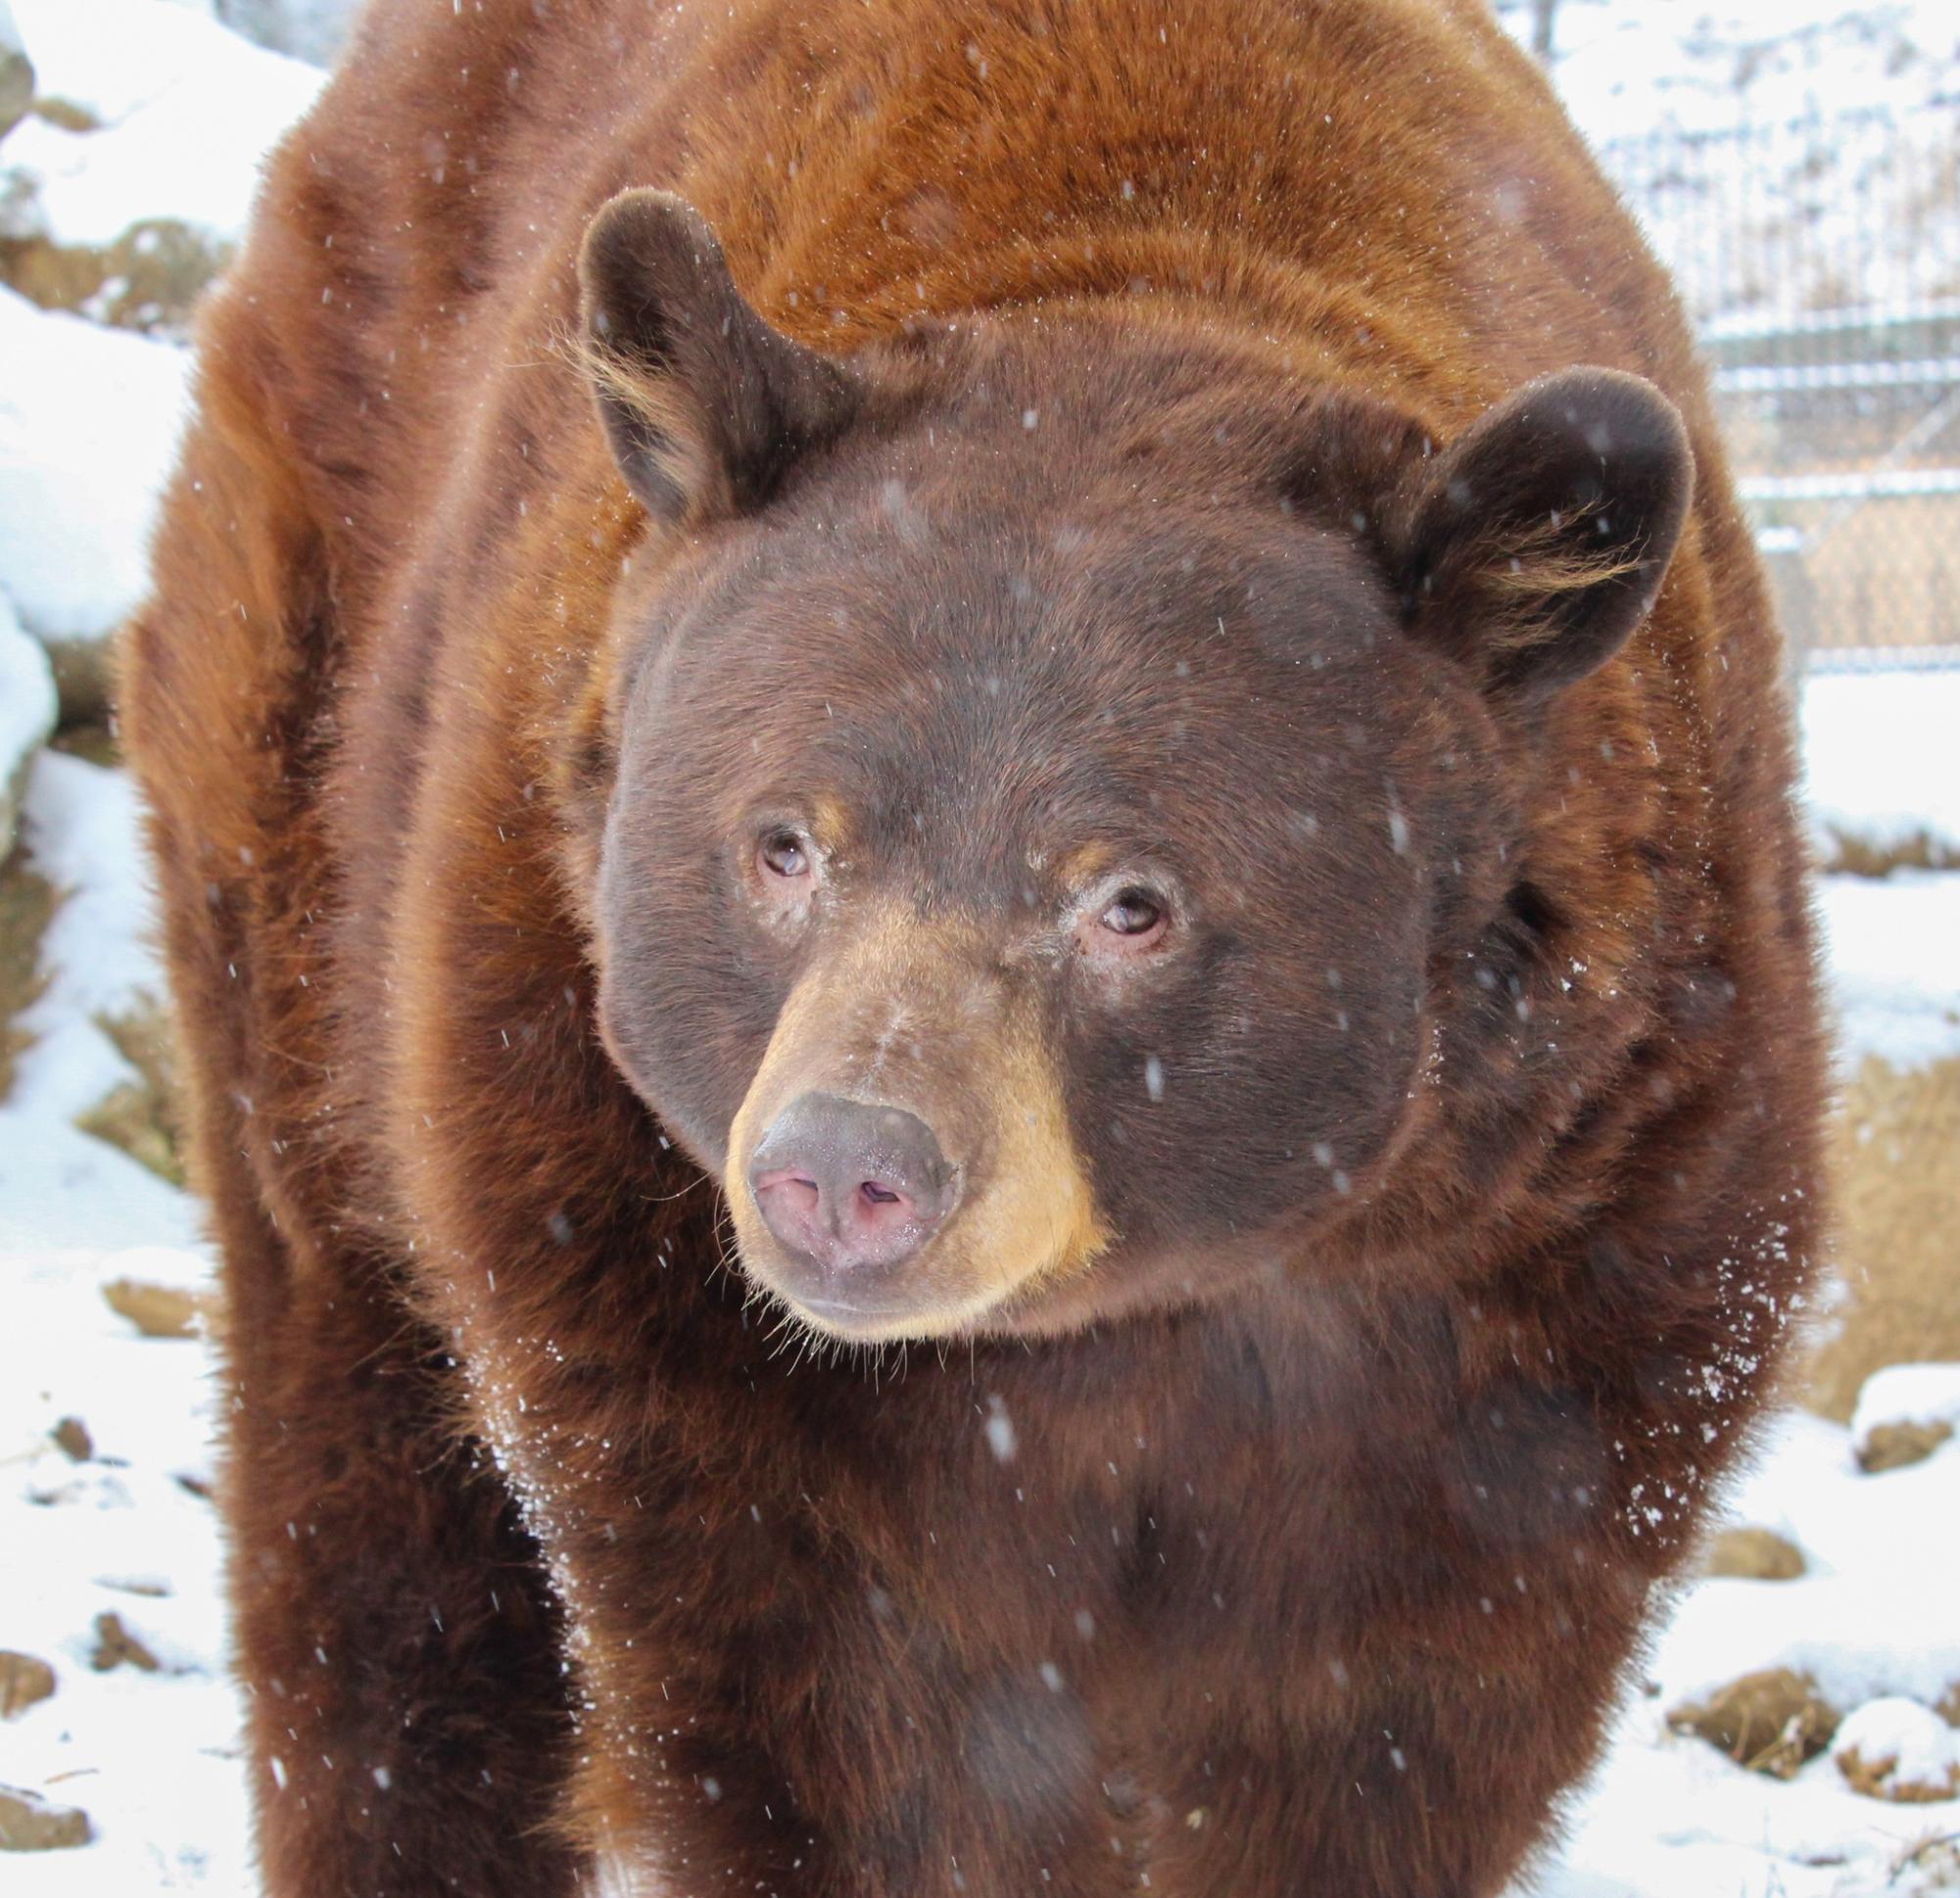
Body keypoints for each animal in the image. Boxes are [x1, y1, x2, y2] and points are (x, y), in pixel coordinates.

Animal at [121, 0, 1826, 1892]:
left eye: (1129, 898)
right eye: (784, 842)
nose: (843, 1173)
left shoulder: (1563, 1241)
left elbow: (1396, 1703)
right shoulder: (632, 1247)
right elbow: (849, 1717)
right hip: (303, 797)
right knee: (373, 1524)